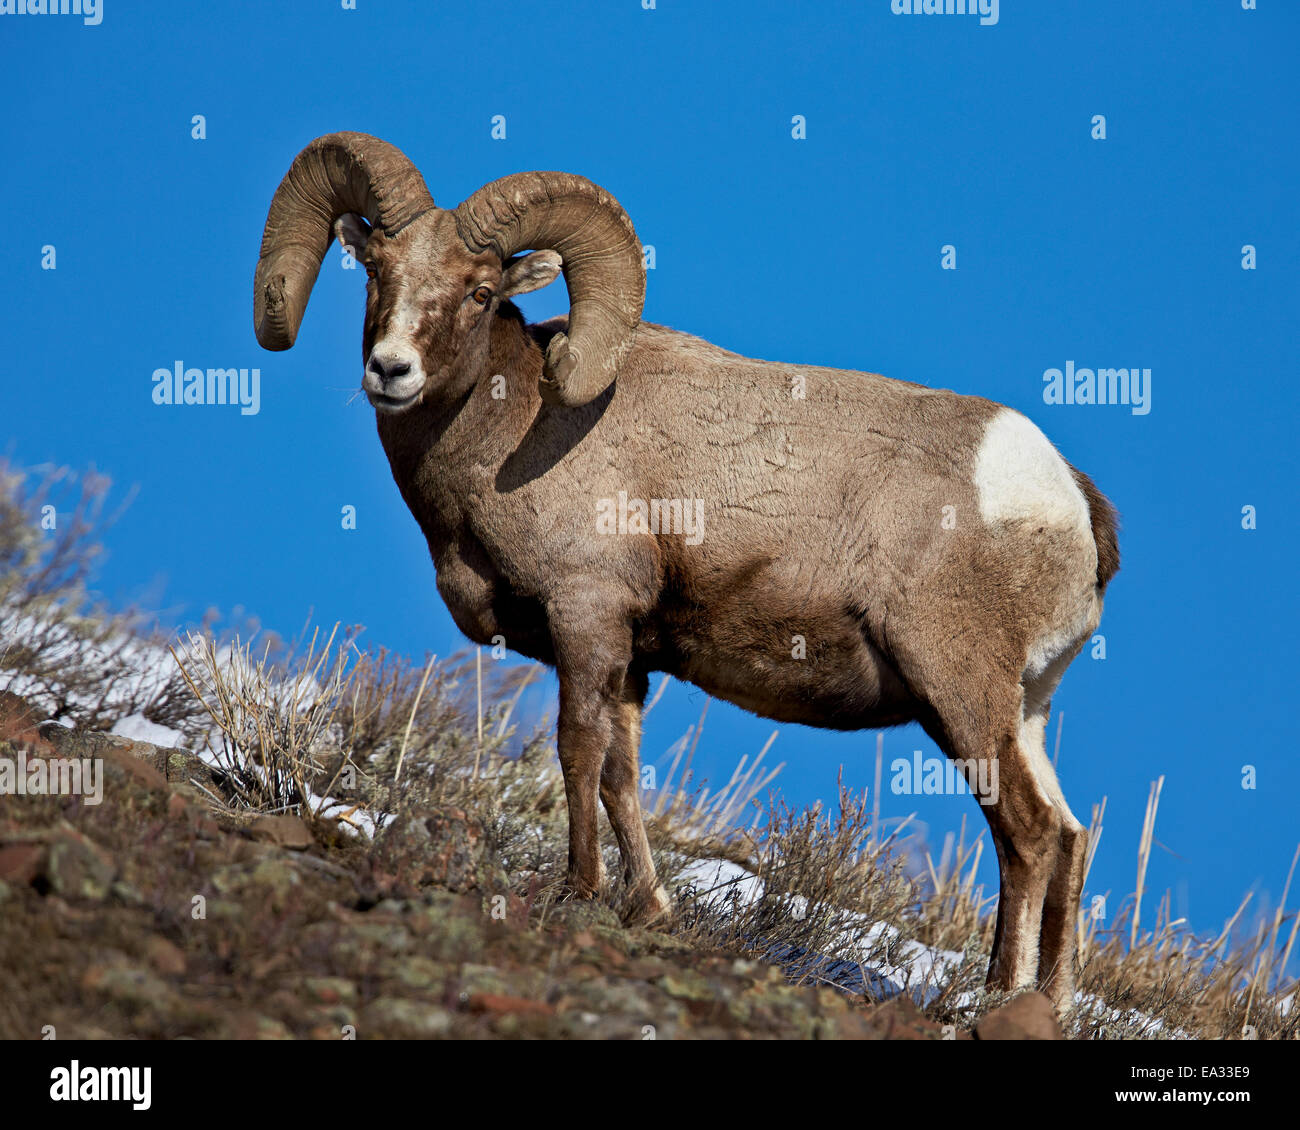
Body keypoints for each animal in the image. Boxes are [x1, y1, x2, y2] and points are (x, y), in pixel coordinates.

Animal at [253, 131, 1119, 1013]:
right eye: (376, 270)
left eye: (480, 290)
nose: (390, 370)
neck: (511, 430)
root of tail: (1067, 502)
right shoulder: (631, 661)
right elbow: (622, 775)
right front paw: (648, 907)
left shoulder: (587, 616)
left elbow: (578, 750)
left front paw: (579, 892)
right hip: (1024, 709)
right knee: (1071, 836)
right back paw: (1048, 1003)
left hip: (960, 691)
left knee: (1027, 833)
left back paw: (992, 1001)